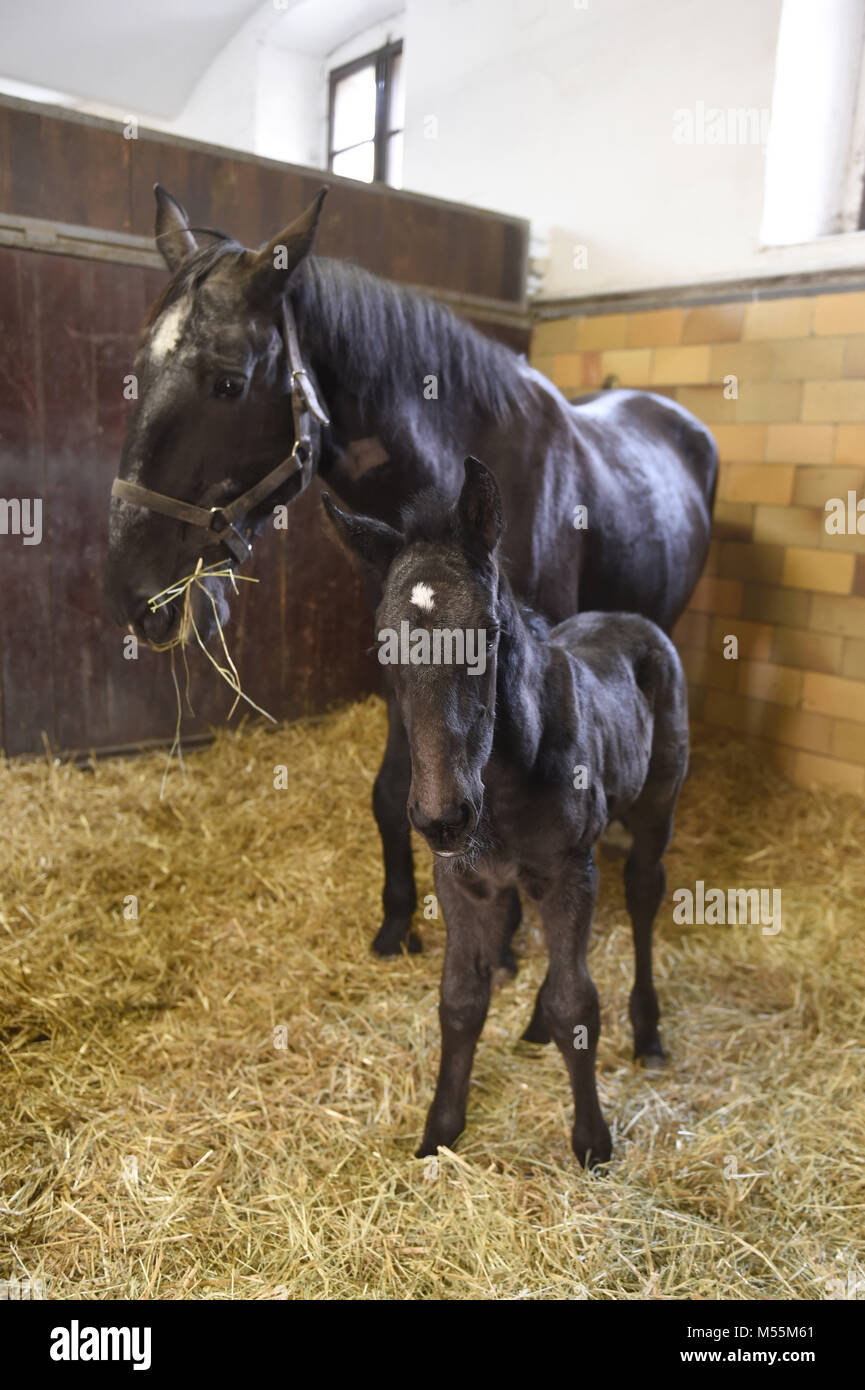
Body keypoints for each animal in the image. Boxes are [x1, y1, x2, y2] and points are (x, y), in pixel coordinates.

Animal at [104, 186, 716, 961]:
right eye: (140, 369)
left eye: (228, 382)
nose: (133, 590)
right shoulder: (406, 666)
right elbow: (395, 788)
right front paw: (397, 918)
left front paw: (505, 940)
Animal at [322, 458, 690, 1166]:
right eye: (384, 647)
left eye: (489, 633)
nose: (443, 818)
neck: (505, 786)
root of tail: (636, 622)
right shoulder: (463, 881)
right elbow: (462, 999)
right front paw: (439, 1133)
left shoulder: (571, 872)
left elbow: (579, 1004)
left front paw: (592, 1144)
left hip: (655, 811)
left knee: (642, 895)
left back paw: (648, 1033)